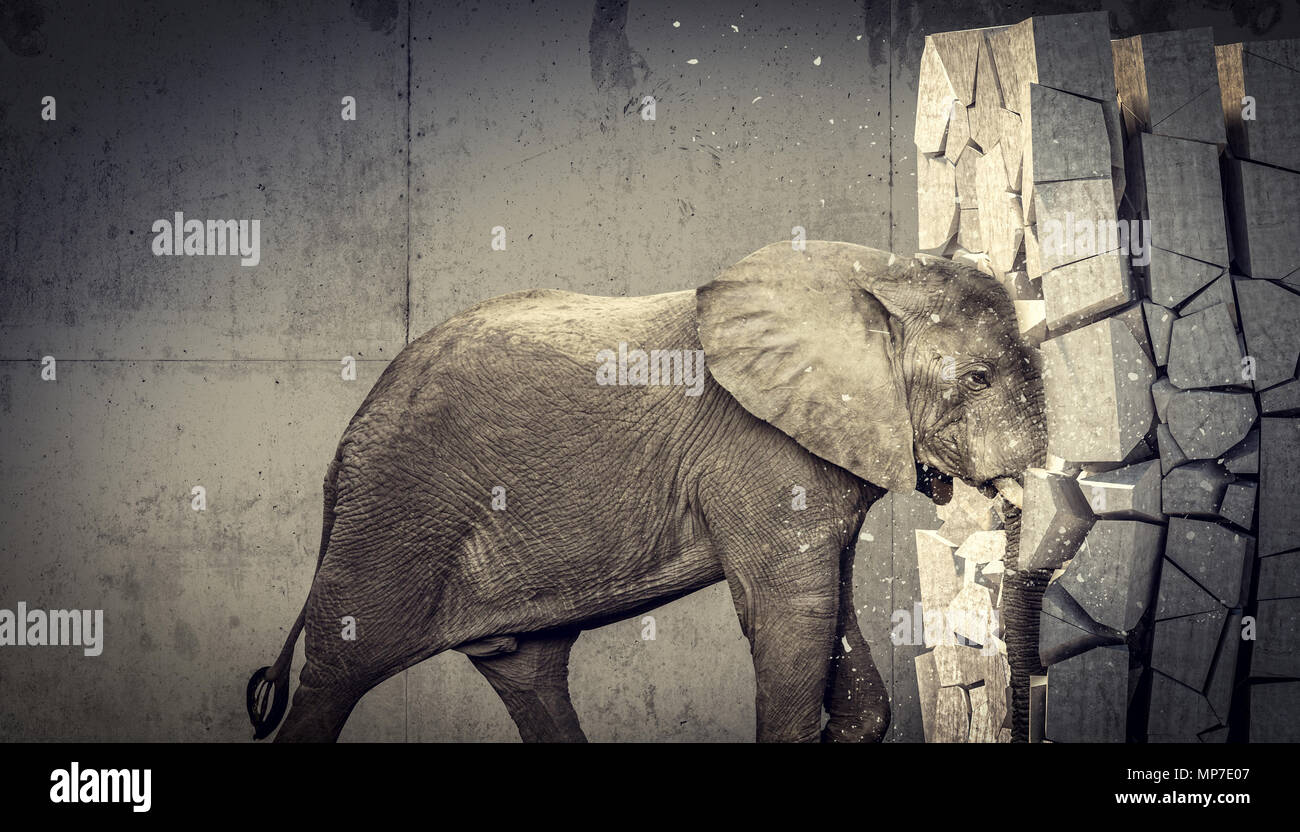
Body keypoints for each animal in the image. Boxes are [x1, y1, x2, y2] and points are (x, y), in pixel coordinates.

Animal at [246, 240, 1047, 743]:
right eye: (978, 378)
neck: (876, 272)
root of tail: (341, 450)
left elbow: (833, 607)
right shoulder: (757, 449)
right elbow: (791, 611)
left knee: (530, 673)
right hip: (397, 511)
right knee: (338, 672)